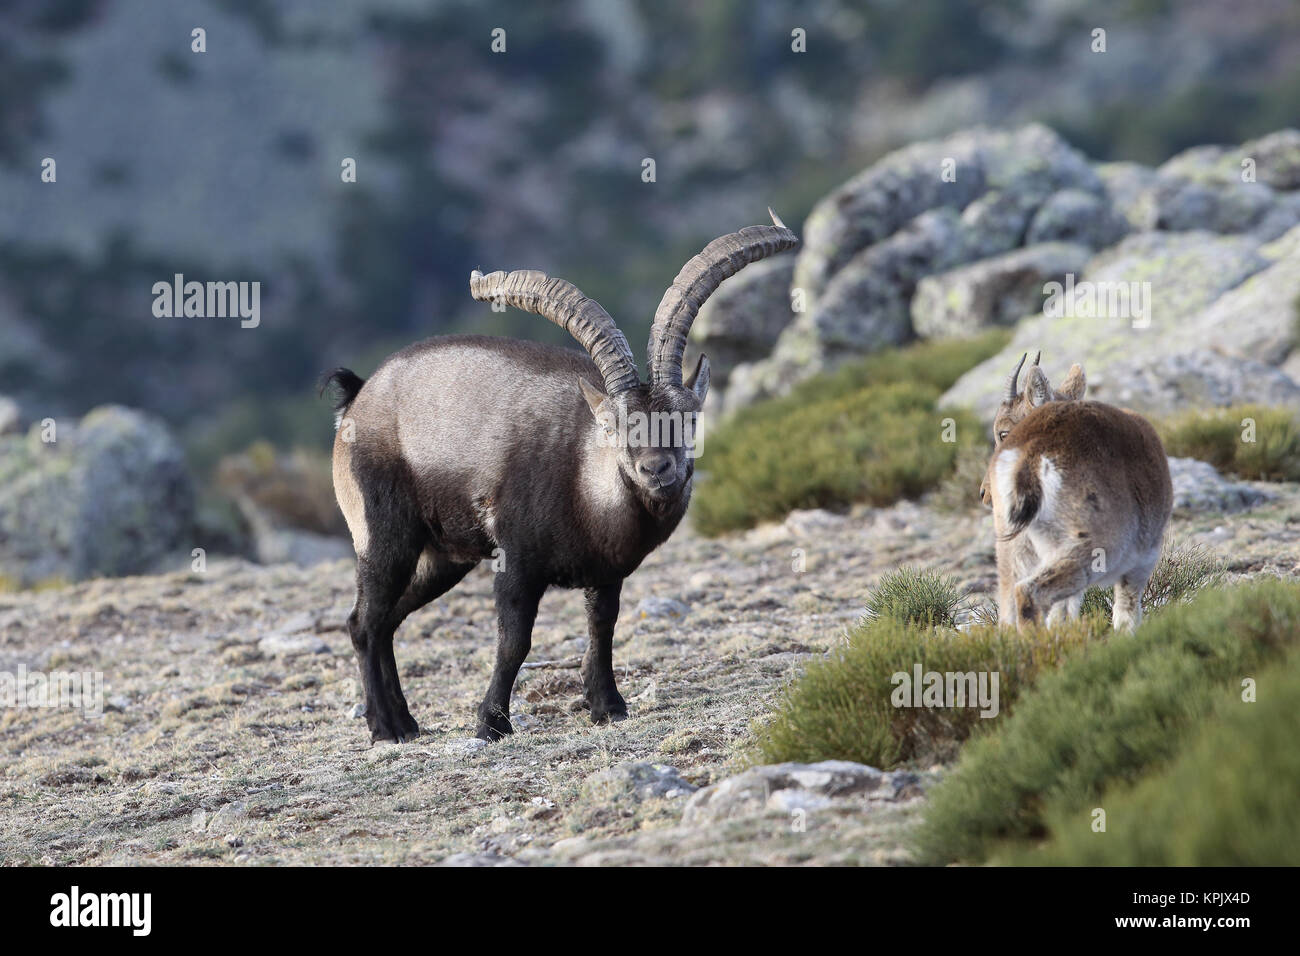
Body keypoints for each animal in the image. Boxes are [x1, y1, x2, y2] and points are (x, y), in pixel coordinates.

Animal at [322, 212, 798, 742]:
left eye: (686, 418)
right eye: (616, 425)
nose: (656, 469)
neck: (585, 485)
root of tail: (359, 397)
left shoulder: (607, 571)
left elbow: (602, 628)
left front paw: (608, 705)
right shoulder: (516, 561)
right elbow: (515, 641)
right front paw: (491, 722)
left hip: (442, 559)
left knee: (386, 621)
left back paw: (405, 723)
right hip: (383, 536)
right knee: (364, 623)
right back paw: (384, 727)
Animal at [980, 353, 1172, 631]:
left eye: (1003, 432)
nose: (984, 493)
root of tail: (1031, 454)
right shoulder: (1141, 561)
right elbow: (1126, 616)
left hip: (1015, 548)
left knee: (1009, 613)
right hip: (1095, 543)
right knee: (1030, 593)